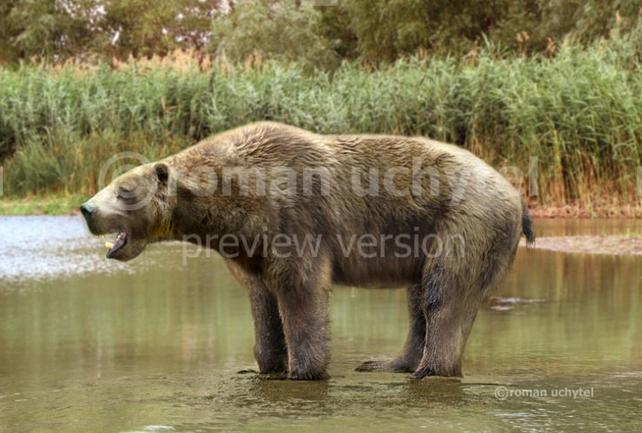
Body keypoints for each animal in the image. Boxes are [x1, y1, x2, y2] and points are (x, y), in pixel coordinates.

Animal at [81, 121, 535, 380]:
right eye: (110, 183)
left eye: (123, 190)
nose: (86, 209)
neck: (233, 200)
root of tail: (516, 194)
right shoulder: (247, 244)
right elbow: (261, 301)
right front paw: (265, 366)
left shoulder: (293, 217)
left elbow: (299, 290)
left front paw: (303, 370)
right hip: (424, 236)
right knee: (418, 296)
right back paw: (391, 363)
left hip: (463, 222)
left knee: (444, 293)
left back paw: (429, 370)